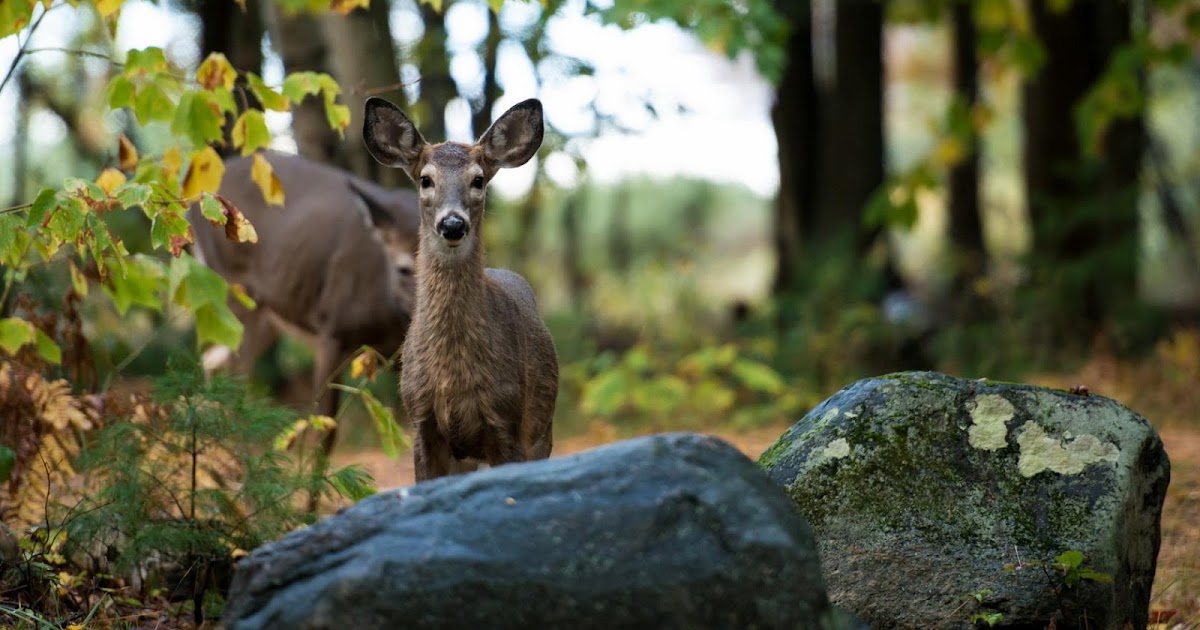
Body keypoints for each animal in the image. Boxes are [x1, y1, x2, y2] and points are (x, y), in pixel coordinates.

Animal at [188, 151, 420, 456]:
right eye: (404, 268)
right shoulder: (332, 329)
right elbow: (325, 430)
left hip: (266, 316)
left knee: (214, 360)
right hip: (236, 288)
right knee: (235, 374)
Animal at [362, 97, 558, 481]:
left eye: (478, 180)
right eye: (425, 180)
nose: (452, 224)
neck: (453, 378)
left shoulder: (508, 421)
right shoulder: (422, 422)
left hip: (542, 429)